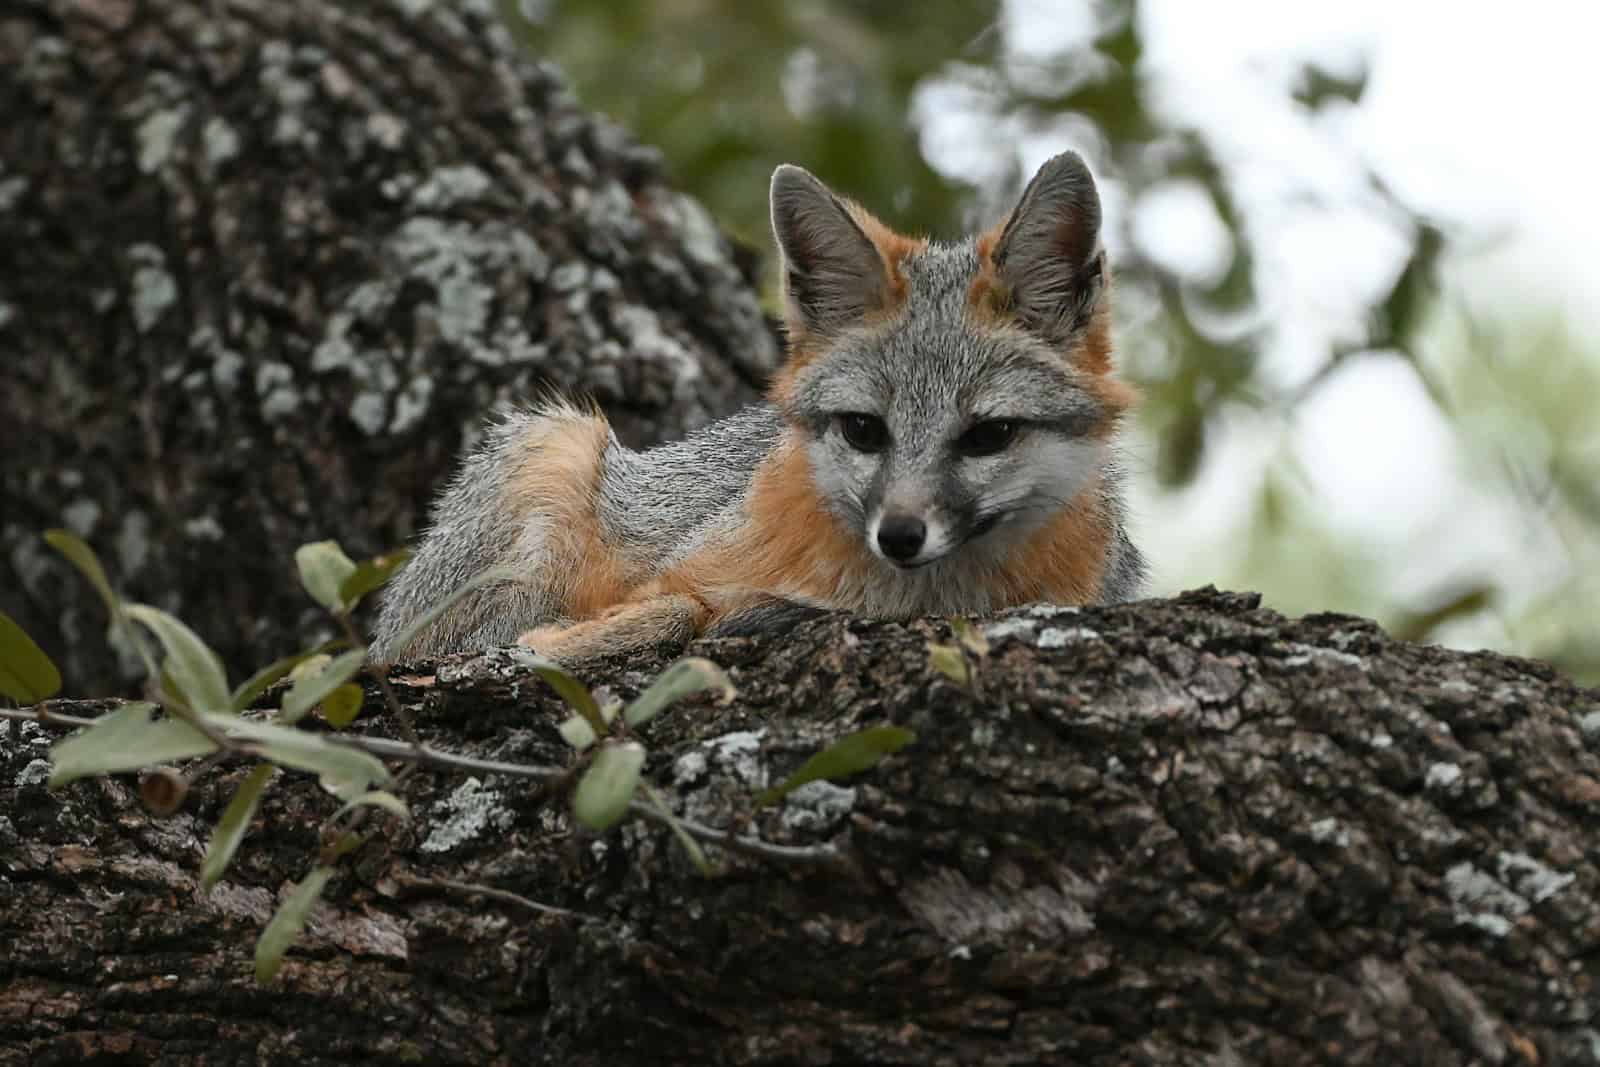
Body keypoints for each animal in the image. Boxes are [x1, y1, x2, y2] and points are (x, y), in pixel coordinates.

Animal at [369, 151, 1145, 666]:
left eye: (989, 436)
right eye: (864, 430)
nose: (899, 534)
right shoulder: (675, 565)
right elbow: (673, 606)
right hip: (556, 445)